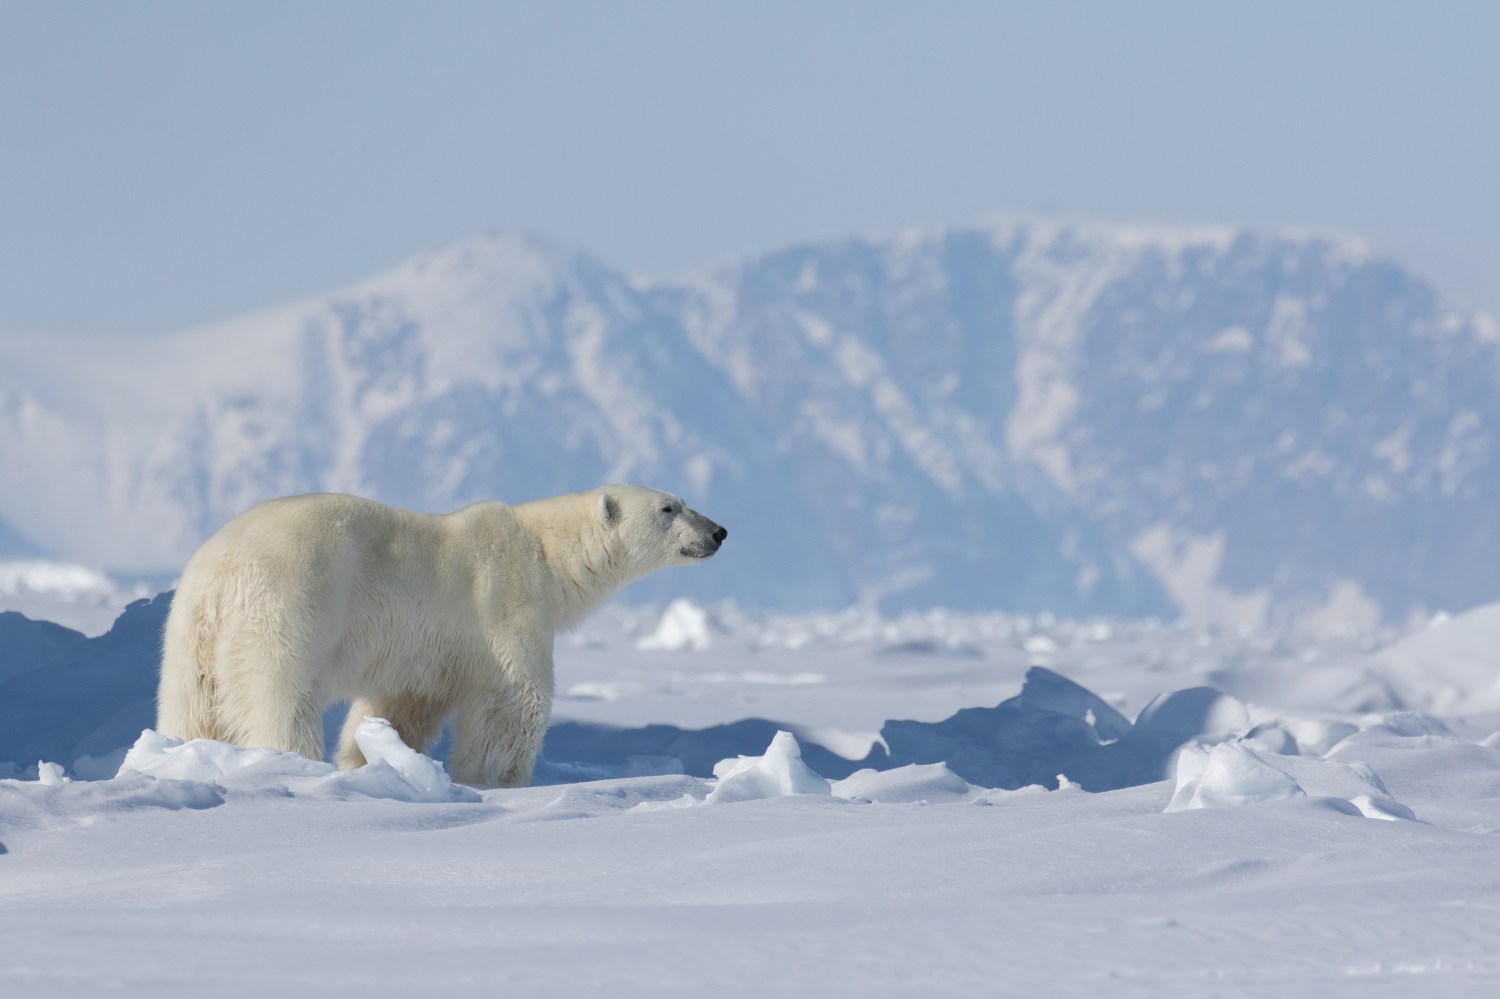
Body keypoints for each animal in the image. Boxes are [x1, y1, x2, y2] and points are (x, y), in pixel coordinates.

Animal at [155, 485, 726, 787]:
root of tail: (221, 571)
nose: (719, 531)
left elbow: (404, 702)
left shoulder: (428, 649)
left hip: (188, 632)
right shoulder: (505, 603)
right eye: (669, 507)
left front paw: (370, 756)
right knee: (278, 694)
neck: (545, 553)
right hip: (288, 606)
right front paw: (495, 779)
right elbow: (515, 701)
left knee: (191, 701)